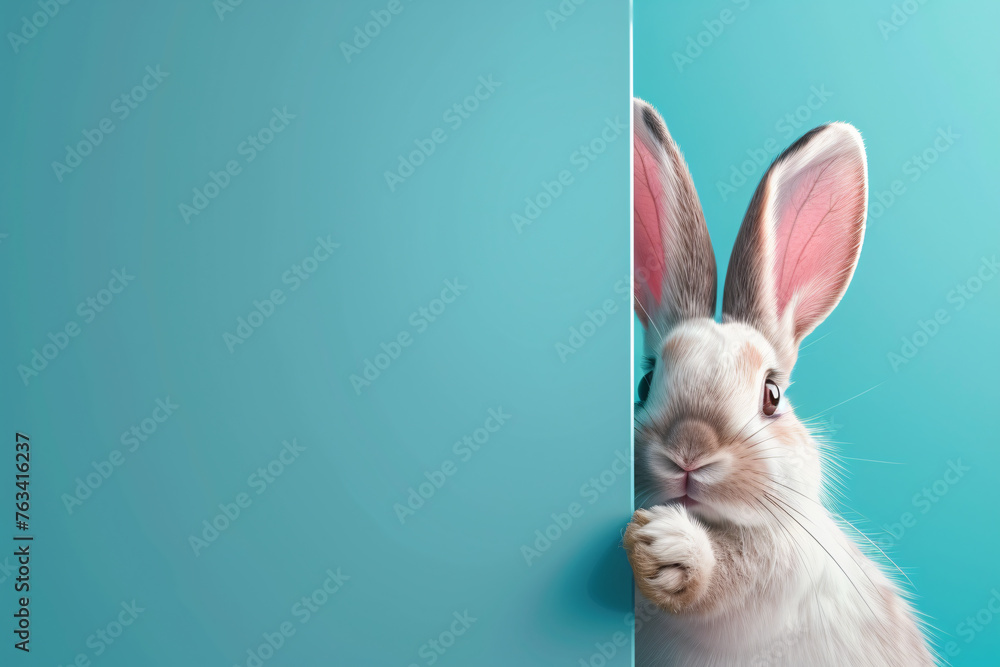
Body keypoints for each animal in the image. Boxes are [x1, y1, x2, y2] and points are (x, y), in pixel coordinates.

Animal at [625, 97, 935, 667]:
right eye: (645, 383)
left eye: (772, 394)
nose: (689, 451)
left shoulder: (783, 562)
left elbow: (726, 579)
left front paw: (666, 546)